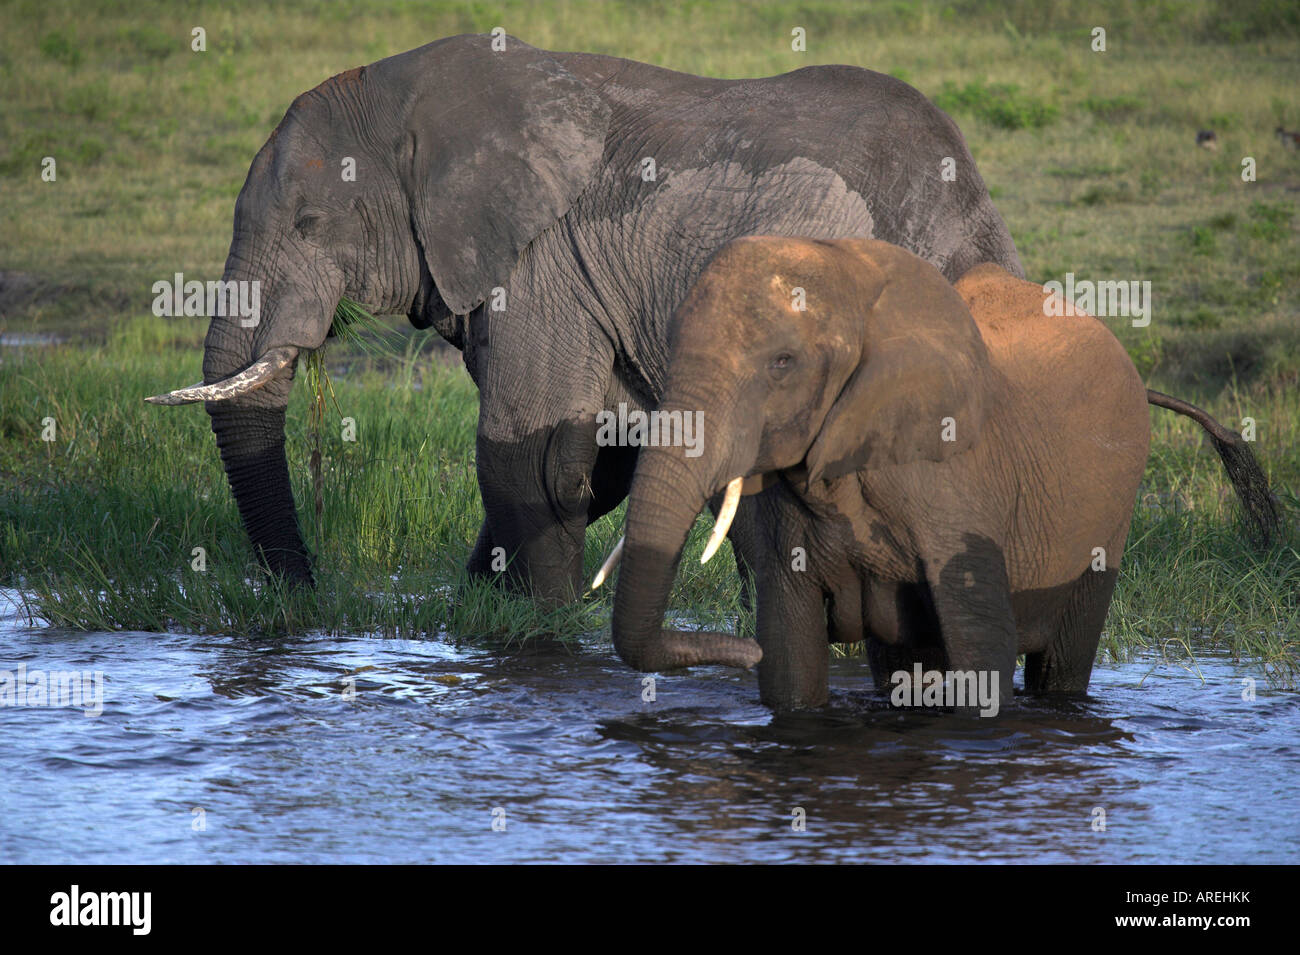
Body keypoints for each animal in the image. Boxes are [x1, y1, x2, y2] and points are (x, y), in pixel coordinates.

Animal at [146, 33, 1023, 603]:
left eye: (308, 224)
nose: (306, 595)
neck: (404, 95)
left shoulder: (542, 267)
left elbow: (531, 459)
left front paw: (539, 623)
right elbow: (603, 457)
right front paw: (483, 605)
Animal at [595, 236, 1280, 711]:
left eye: (782, 363)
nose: (738, 652)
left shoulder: (956, 483)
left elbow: (983, 661)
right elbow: (791, 664)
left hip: (1111, 512)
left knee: (1063, 661)